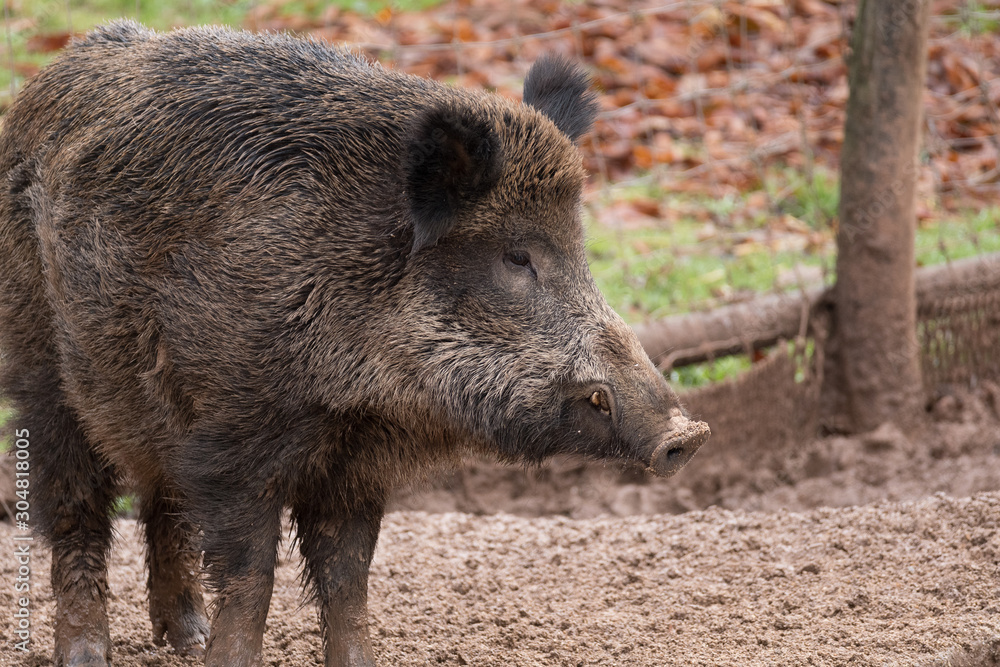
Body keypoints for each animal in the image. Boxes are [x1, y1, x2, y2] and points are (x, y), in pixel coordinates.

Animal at [0, 21, 709, 667]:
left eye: (582, 250)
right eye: (516, 256)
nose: (687, 434)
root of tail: (41, 87)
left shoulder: (354, 462)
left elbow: (347, 580)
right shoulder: (234, 438)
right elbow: (252, 578)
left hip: (153, 412)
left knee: (160, 498)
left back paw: (187, 641)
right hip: (44, 369)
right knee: (75, 505)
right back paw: (87, 655)